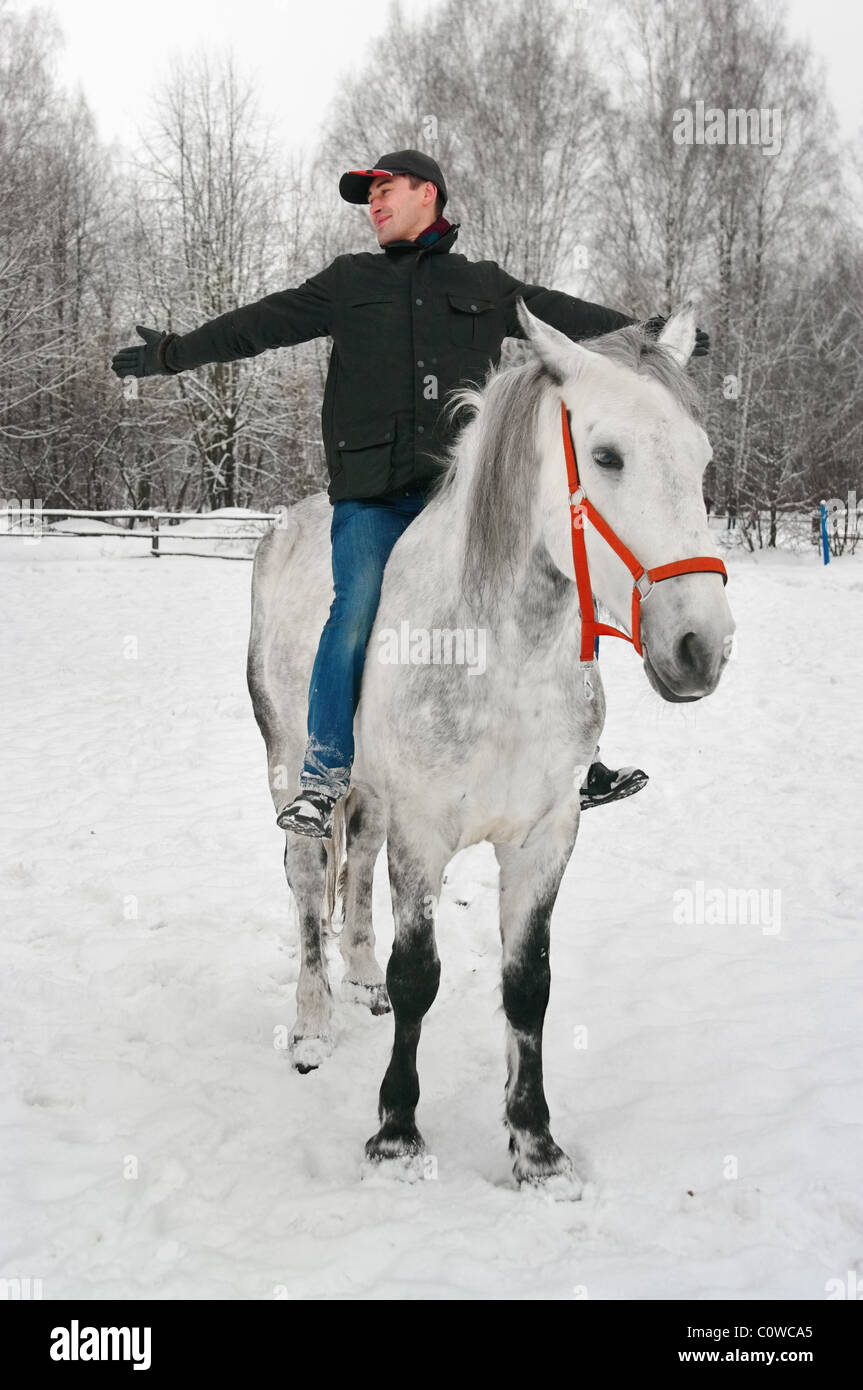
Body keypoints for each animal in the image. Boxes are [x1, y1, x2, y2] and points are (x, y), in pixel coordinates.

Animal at [246, 299, 735, 1192]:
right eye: (605, 456)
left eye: (700, 458)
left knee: (354, 867)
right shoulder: (424, 834)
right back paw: (312, 1024)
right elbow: (418, 978)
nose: (700, 646)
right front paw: (397, 1135)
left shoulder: (545, 837)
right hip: (289, 767)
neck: (502, 653)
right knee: (306, 880)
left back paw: (357, 976)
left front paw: (535, 1146)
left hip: (373, 801)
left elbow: (527, 984)